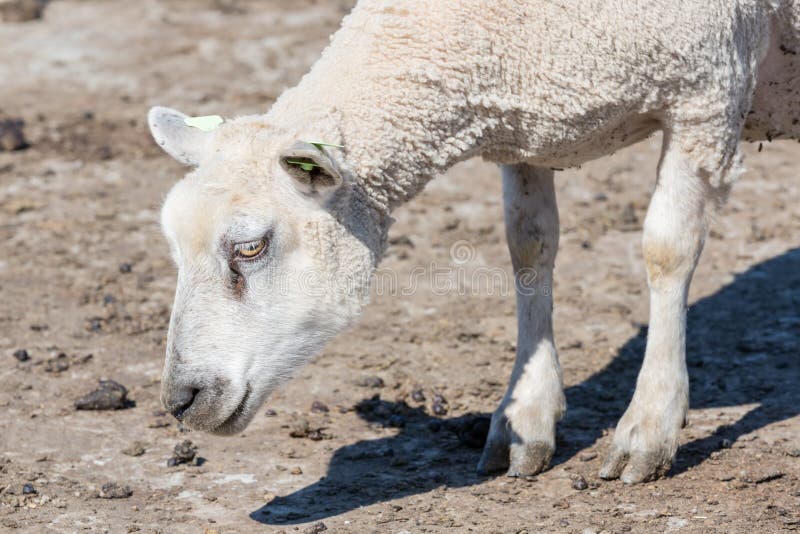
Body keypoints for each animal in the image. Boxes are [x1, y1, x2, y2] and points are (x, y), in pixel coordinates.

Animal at [148, 0, 800, 484]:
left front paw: (650, 427)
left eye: (251, 247)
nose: (180, 400)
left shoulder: (707, 92)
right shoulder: (527, 127)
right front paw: (524, 417)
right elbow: (529, 247)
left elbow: (667, 251)